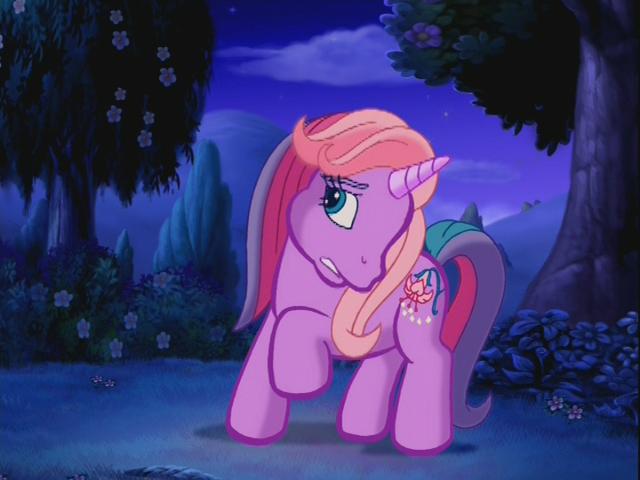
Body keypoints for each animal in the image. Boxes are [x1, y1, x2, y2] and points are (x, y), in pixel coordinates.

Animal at [226, 109, 505, 455]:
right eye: (334, 199)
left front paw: (302, 382)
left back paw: (420, 443)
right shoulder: (275, 319)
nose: (373, 277)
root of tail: (435, 264)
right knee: (384, 367)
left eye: (402, 220)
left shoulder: (331, 326)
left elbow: (302, 323)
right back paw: (361, 432)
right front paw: (251, 431)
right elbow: (260, 361)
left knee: (432, 358)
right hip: (388, 341)